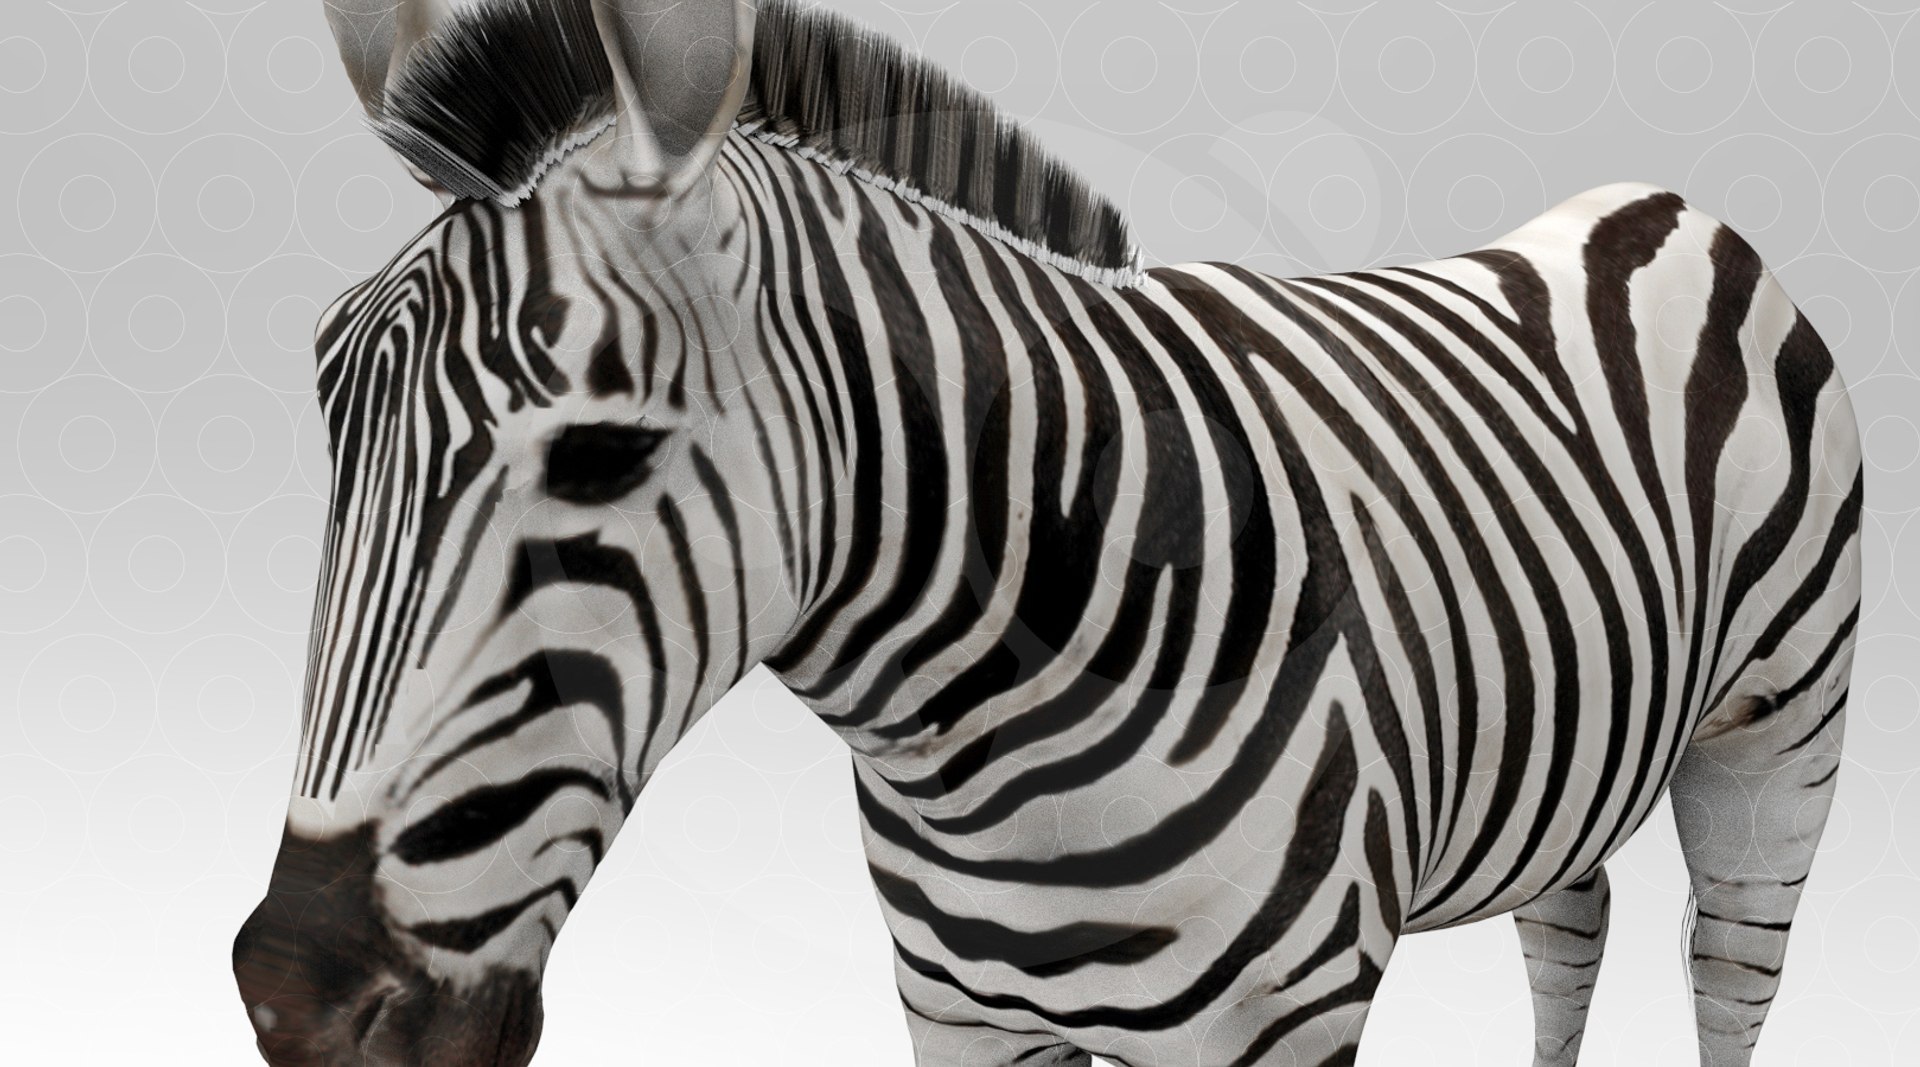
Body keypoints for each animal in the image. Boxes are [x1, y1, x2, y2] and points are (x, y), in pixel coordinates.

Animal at [232, 2, 1864, 1065]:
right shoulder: (959, 1015)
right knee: (1569, 916)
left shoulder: (1281, 1026)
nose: (295, 1000)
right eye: (326, 411)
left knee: (1728, 972)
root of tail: (1662, 204)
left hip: (1777, 741)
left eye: (602, 452)